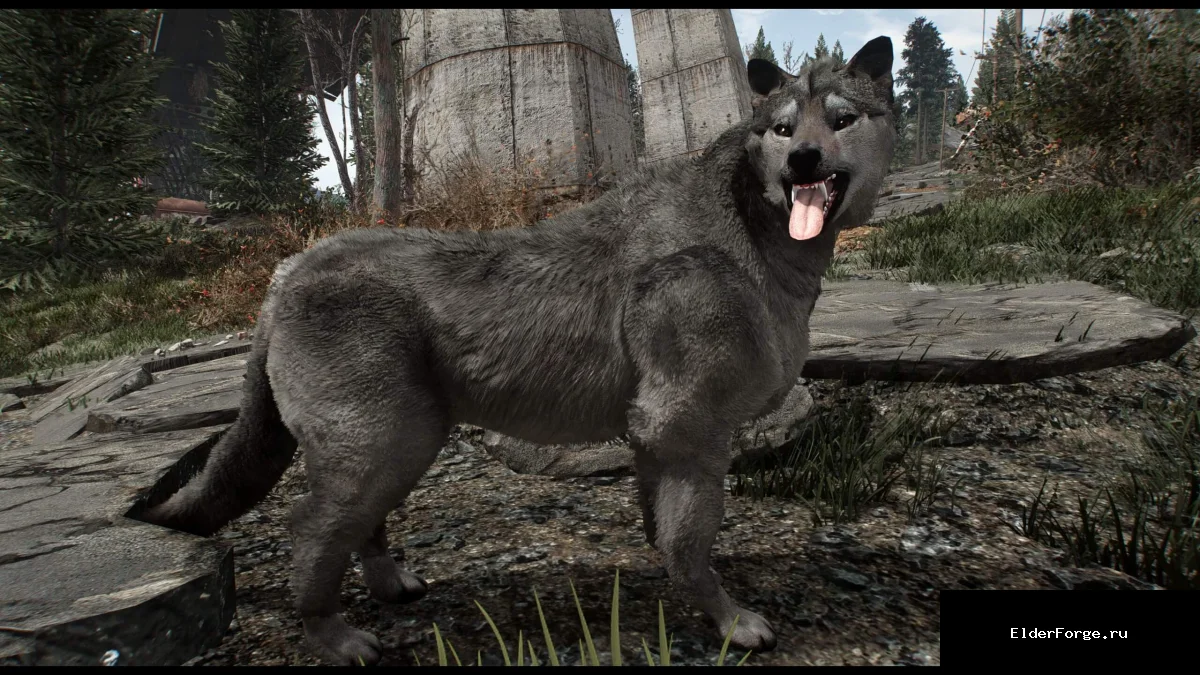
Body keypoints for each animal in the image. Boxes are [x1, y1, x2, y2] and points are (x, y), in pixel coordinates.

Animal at [142, 37, 896, 665]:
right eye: (782, 129)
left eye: (841, 120)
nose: (803, 161)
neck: (752, 226)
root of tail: (288, 272)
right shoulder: (686, 425)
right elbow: (691, 539)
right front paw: (732, 621)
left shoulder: (657, 435)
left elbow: (665, 530)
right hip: (384, 440)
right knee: (310, 526)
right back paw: (334, 637)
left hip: (398, 442)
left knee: (360, 524)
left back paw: (391, 584)